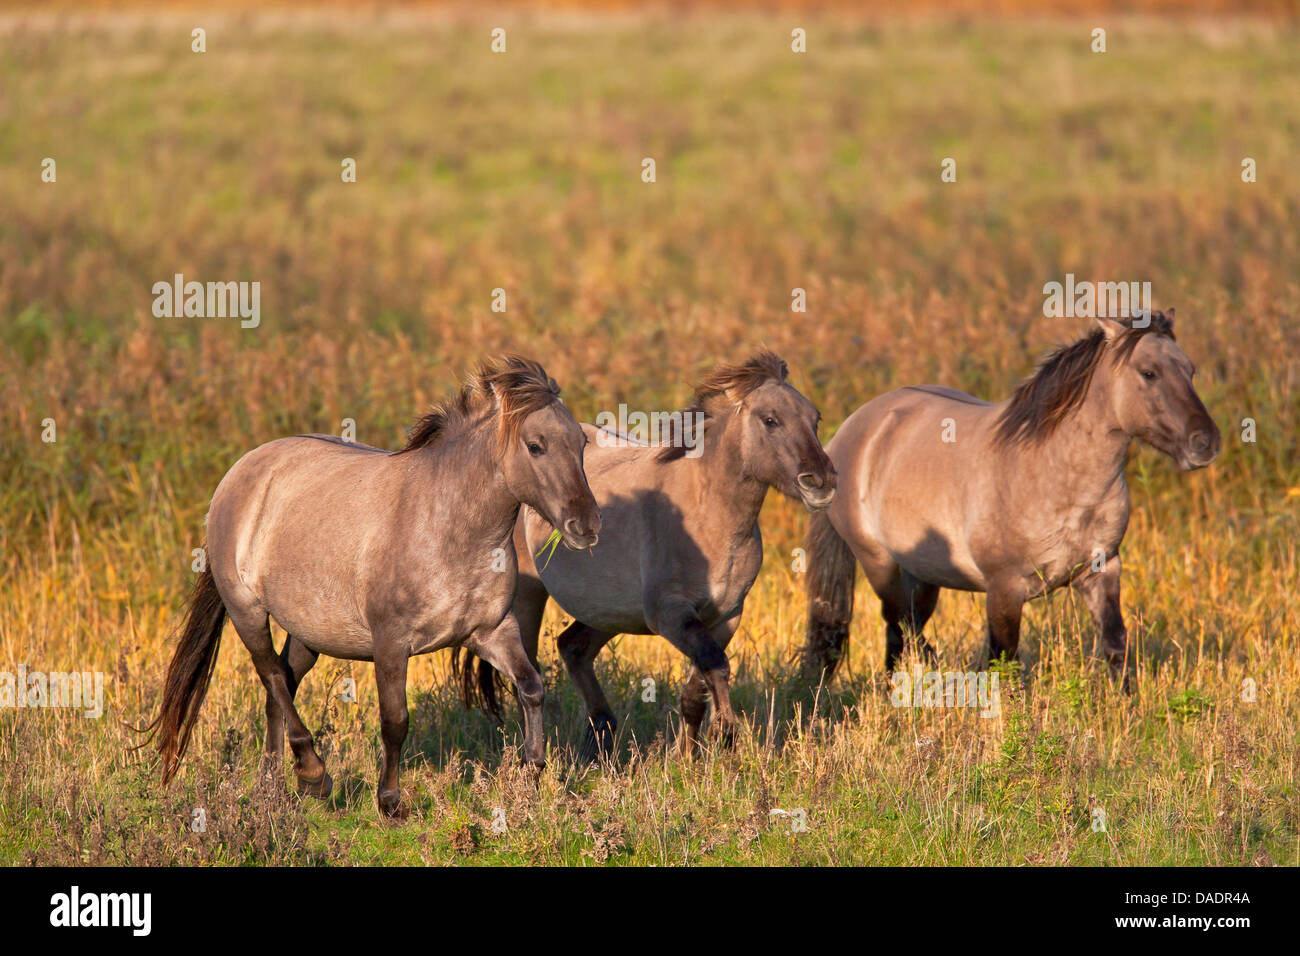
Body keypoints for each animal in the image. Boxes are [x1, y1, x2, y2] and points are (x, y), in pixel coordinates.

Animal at [147, 356, 601, 818]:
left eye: (581, 443)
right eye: (535, 445)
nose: (586, 526)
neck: (446, 527)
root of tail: (239, 474)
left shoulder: (491, 632)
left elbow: (532, 689)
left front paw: (531, 774)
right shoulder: (390, 644)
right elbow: (395, 721)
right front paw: (390, 802)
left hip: (309, 632)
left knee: (282, 684)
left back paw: (271, 788)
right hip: (247, 612)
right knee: (272, 675)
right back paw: (313, 774)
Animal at [466, 351, 836, 760]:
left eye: (814, 418)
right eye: (770, 420)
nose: (821, 483)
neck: (706, 513)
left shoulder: (726, 616)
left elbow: (697, 690)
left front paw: (689, 756)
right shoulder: (671, 614)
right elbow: (716, 667)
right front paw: (726, 736)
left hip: (608, 611)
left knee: (572, 647)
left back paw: (602, 736)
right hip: (529, 600)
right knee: (527, 670)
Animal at [800, 311, 1219, 686]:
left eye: (1191, 370)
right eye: (1148, 373)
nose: (1206, 442)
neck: (1053, 476)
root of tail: (848, 434)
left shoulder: (1102, 571)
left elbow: (1116, 645)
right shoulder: (1004, 589)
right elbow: (1005, 662)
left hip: (924, 574)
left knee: (900, 635)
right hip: (879, 564)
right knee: (901, 626)